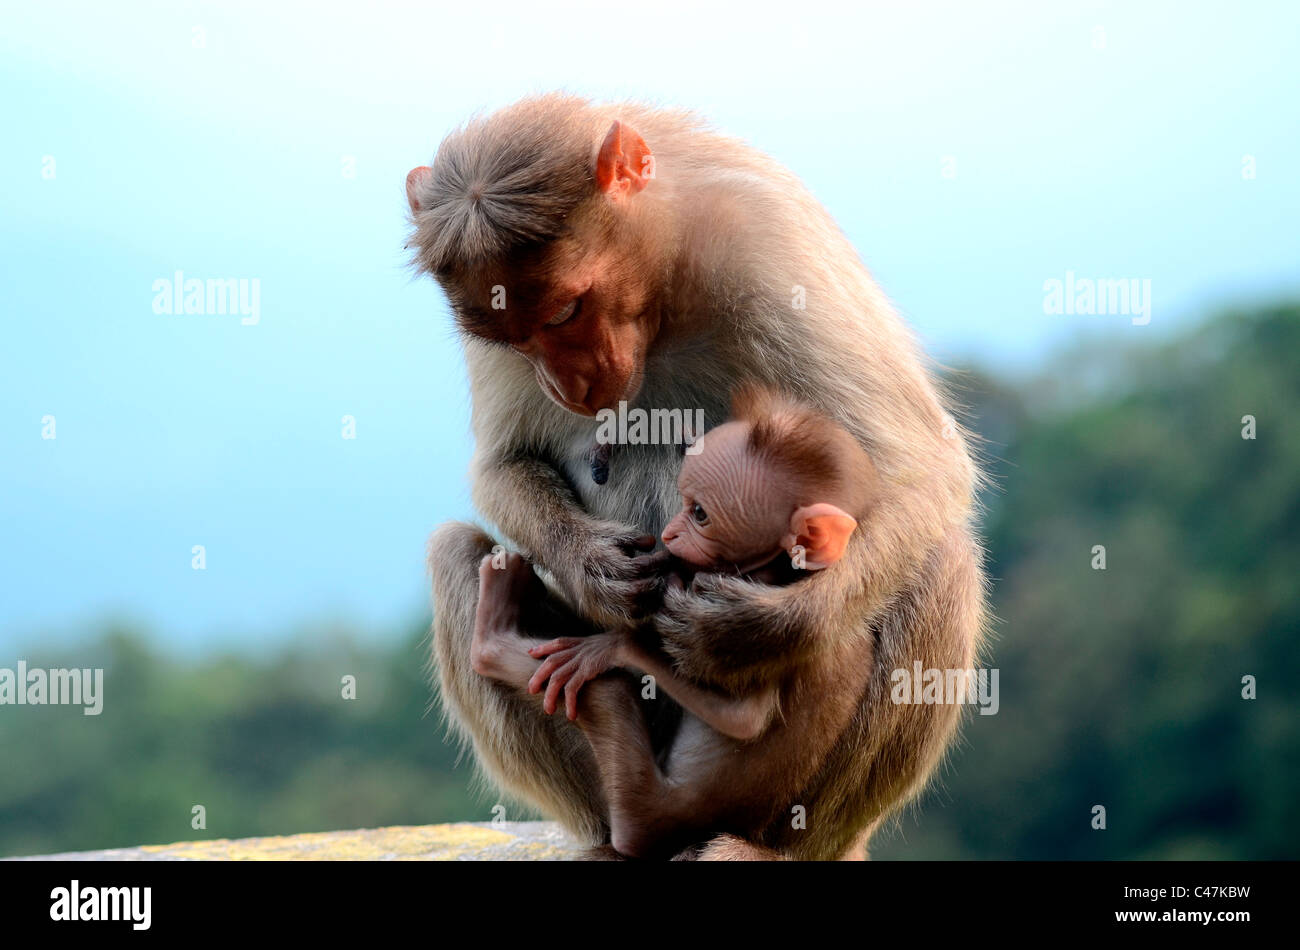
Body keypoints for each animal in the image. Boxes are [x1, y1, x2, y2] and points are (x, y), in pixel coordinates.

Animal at [470, 387, 881, 858]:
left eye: (700, 513)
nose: (668, 534)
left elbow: (744, 716)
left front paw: (615, 646)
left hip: (643, 812)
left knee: (603, 692)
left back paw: (493, 634)